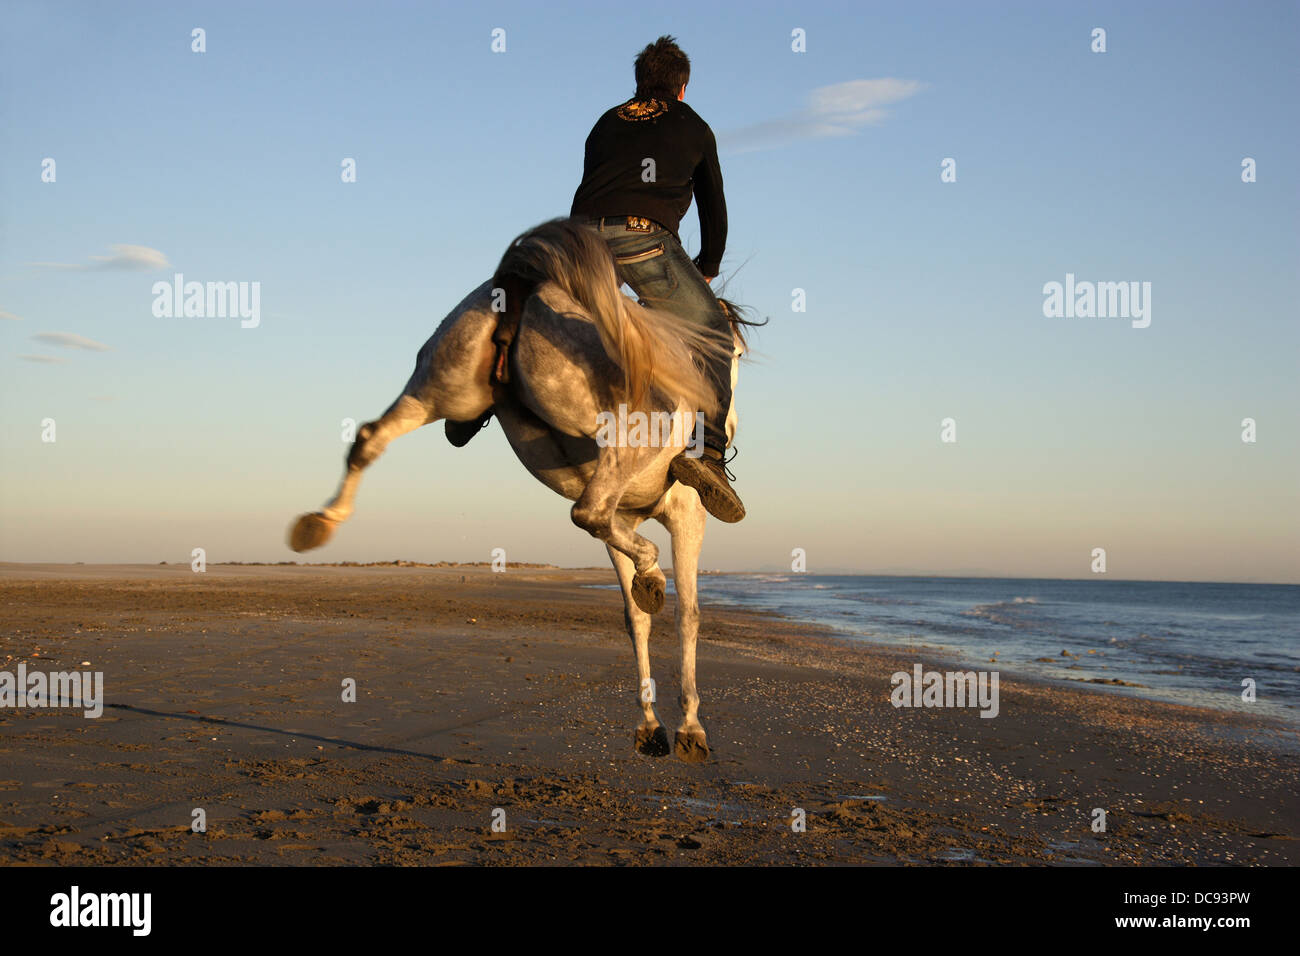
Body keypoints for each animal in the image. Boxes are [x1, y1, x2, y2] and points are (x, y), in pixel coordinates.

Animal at [288, 218, 756, 762]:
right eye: (734, 354)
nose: (731, 425)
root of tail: (524, 285)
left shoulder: (627, 522)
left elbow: (635, 616)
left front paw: (650, 724)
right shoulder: (686, 517)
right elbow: (688, 615)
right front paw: (689, 728)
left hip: (438, 391)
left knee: (367, 439)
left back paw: (317, 524)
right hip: (629, 432)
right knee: (587, 511)